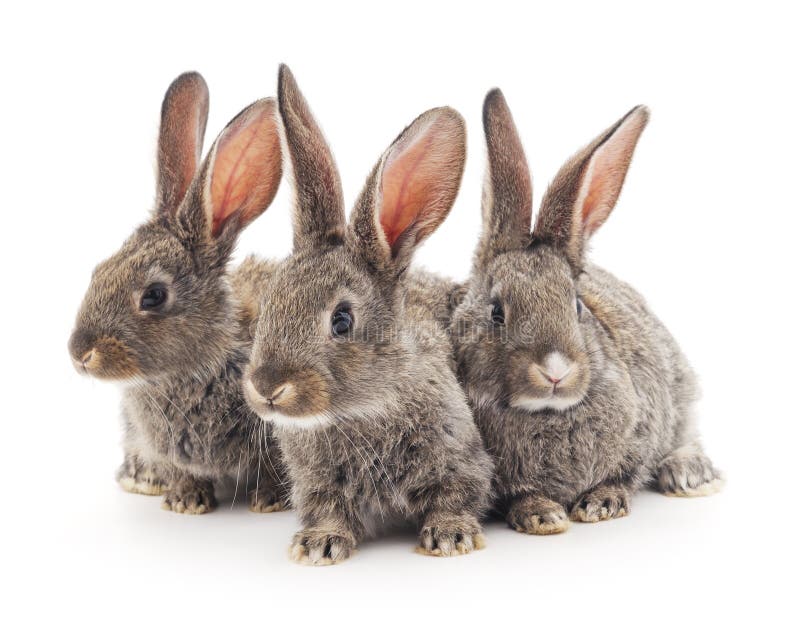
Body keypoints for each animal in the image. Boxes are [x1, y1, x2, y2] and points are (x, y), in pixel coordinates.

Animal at [242, 65, 493, 565]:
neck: (362, 410)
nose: (266, 388)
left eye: (342, 320)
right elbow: (328, 510)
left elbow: (457, 494)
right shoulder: (318, 486)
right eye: (270, 303)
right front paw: (318, 545)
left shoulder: (459, 456)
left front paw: (452, 536)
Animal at [450, 89, 723, 535]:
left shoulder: (640, 435)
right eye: (496, 313)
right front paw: (541, 515)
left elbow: (623, 475)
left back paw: (690, 474)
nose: (555, 371)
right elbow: (518, 496)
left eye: (576, 305)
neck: (549, 413)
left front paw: (601, 504)